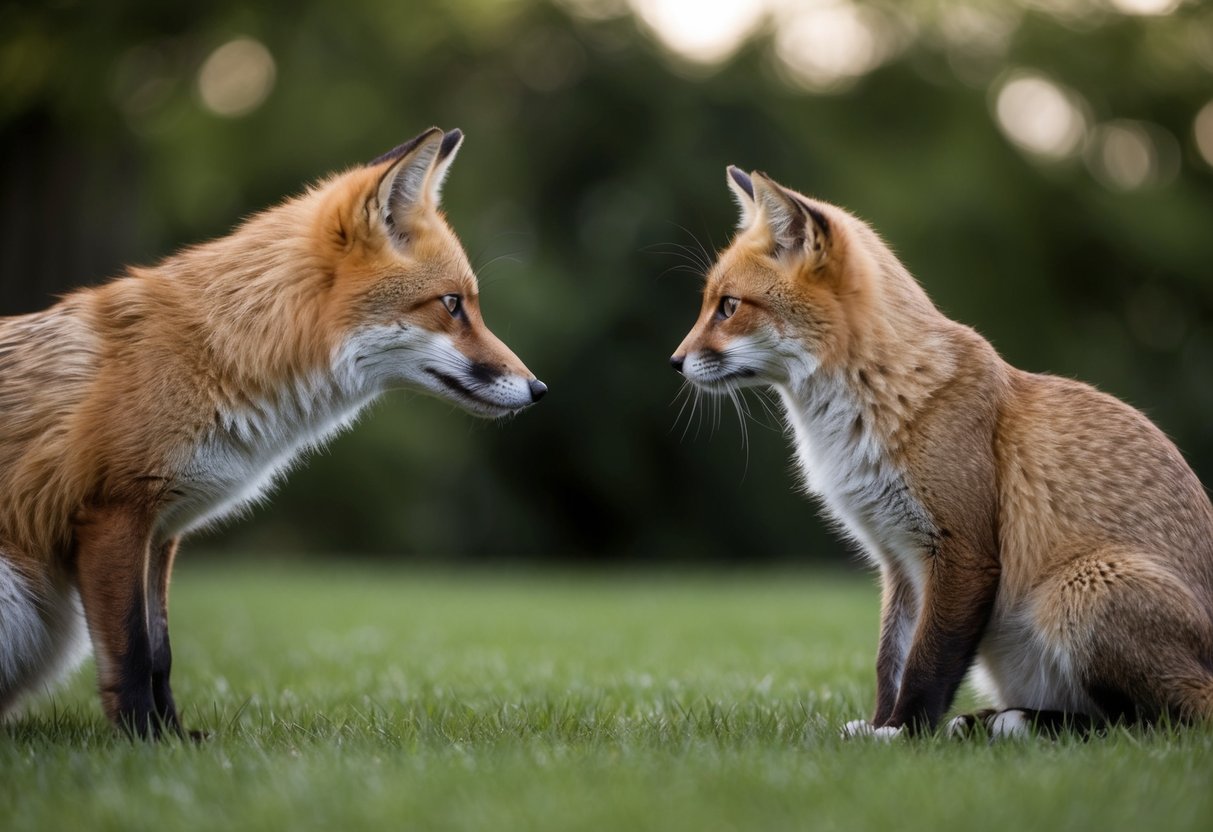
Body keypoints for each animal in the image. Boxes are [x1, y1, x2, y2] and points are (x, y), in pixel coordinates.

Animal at [0, 126, 546, 737]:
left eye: (469, 305)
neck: (217, 358)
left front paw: (175, 737)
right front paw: (143, 740)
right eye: (452, 304)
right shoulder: (115, 512)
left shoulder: (162, 533)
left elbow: (161, 653)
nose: (539, 387)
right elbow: (133, 651)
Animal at [671, 166, 1213, 738]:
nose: (675, 361)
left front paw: (904, 734)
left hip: (1082, 589)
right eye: (710, 304)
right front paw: (877, 727)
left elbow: (928, 663)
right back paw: (994, 722)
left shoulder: (962, 552)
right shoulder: (898, 558)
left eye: (729, 307)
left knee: (1159, 722)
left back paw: (1015, 723)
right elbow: (891, 659)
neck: (873, 403)